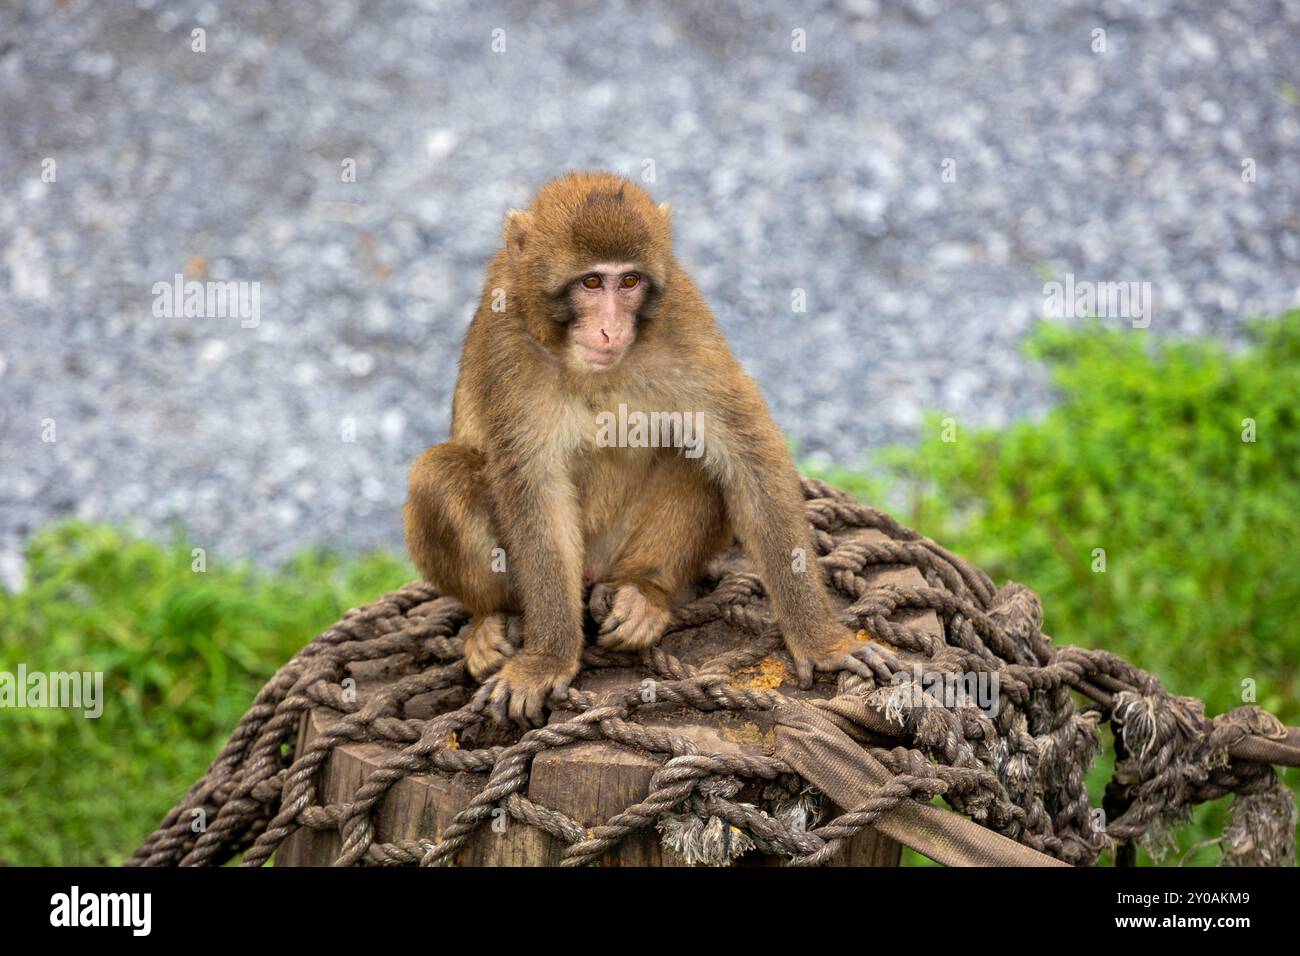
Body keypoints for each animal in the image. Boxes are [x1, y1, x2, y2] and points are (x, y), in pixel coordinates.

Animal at [404, 171, 874, 725]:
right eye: (591, 283)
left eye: (628, 282)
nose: (611, 329)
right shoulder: (508, 347)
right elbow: (533, 488)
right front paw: (546, 659)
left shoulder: (680, 321)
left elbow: (747, 451)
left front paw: (822, 641)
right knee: (440, 473)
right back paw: (493, 616)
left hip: (618, 548)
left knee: (694, 449)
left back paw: (644, 591)